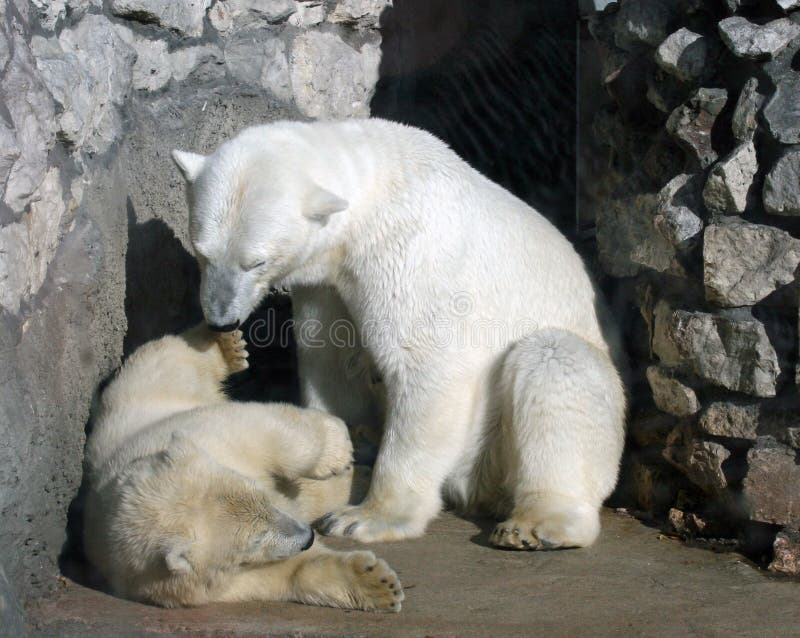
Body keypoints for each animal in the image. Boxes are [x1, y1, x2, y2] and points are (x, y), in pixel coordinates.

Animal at [83, 323, 404, 610]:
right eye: (255, 539)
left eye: (261, 496)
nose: (307, 536)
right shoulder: (188, 582)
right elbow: (278, 574)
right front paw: (375, 583)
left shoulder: (207, 436)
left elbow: (266, 431)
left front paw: (338, 445)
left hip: (137, 400)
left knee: (165, 361)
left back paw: (225, 345)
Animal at [171, 117, 626, 550]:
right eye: (202, 252)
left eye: (256, 262)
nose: (222, 320)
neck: (374, 191)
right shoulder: (327, 280)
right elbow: (329, 353)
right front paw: (343, 442)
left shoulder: (411, 253)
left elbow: (428, 364)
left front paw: (364, 518)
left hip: (513, 435)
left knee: (555, 360)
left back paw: (535, 525)